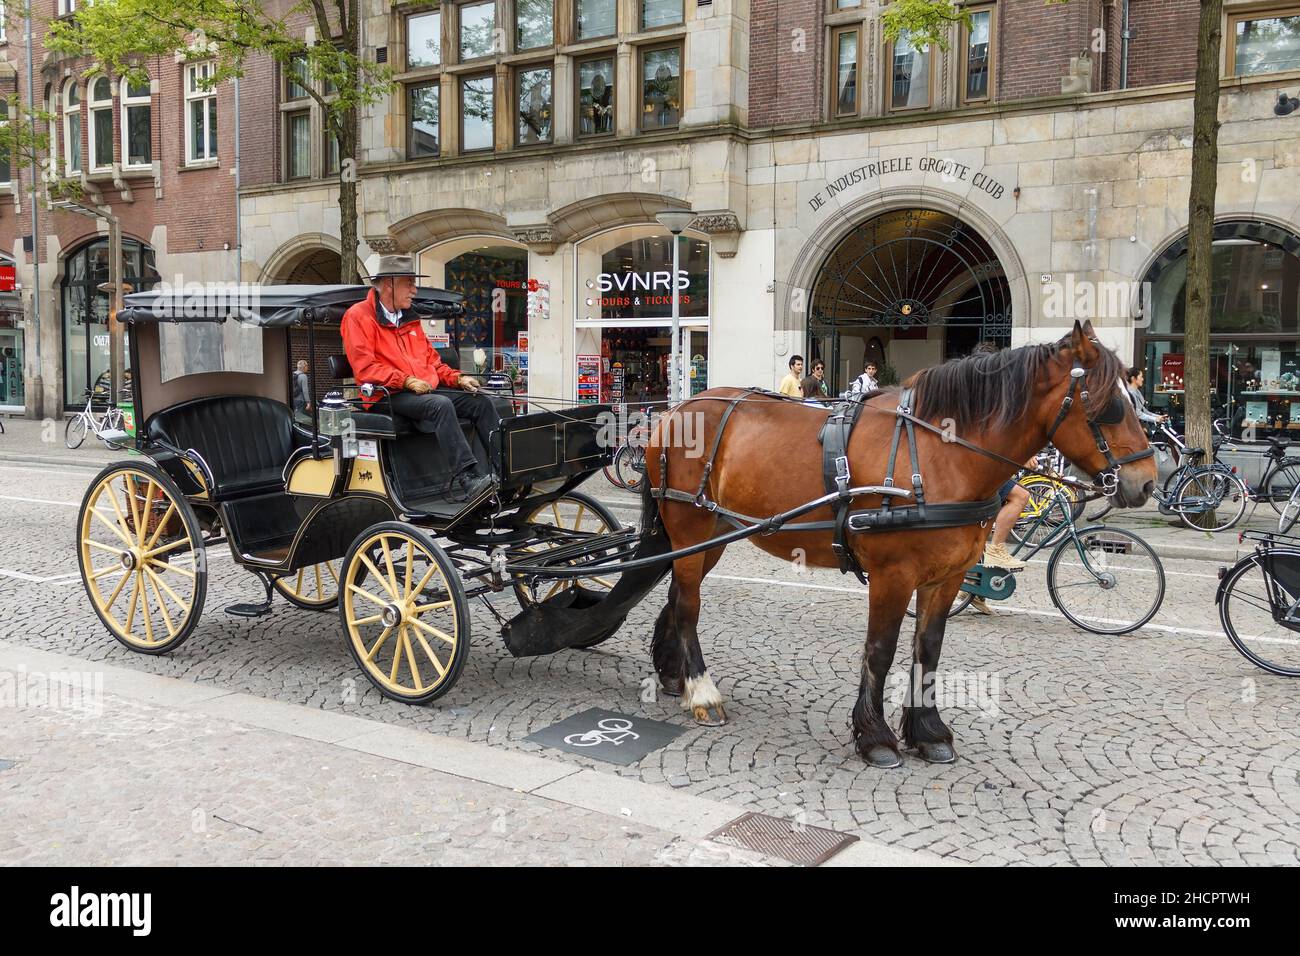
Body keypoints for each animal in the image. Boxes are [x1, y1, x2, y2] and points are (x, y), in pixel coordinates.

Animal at [641, 319, 1156, 768]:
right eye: (1111, 407)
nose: (1147, 481)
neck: (937, 454)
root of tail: (673, 413)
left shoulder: (946, 576)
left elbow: (927, 649)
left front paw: (928, 732)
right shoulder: (892, 575)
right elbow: (881, 650)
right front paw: (875, 737)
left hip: (715, 535)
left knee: (678, 595)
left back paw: (673, 676)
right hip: (690, 529)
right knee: (689, 604)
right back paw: (702, 691)